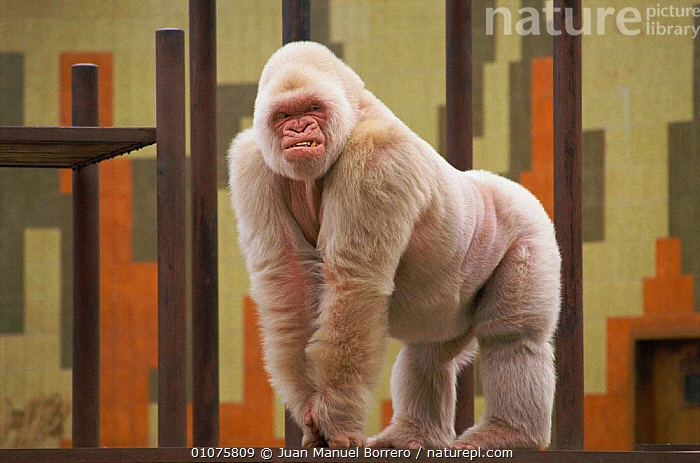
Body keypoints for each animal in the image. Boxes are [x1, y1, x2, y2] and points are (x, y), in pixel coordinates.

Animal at [227, 41, 561, 450]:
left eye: (313, 109)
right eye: (285, 115)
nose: (299, 129)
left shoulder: (375, 157)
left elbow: (355, 285)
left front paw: (335, 418)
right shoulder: (251, 163)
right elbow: (288, 282)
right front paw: (309, 407)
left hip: (530, 227)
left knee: (513, 337)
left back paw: (510, 433)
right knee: (428, 355)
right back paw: (413, 434)